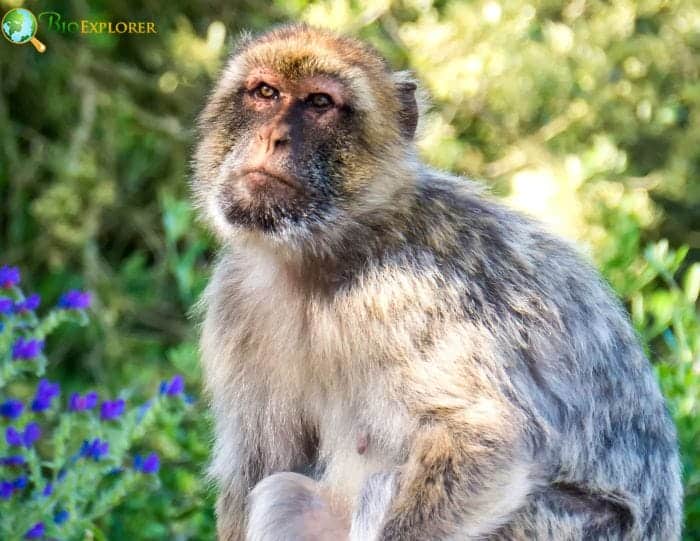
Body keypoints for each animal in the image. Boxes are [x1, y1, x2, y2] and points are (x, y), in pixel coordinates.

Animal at [192, 24, 683, 541]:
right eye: (265, 93)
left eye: (320, 102)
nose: (274, 137)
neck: (323, 252)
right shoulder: (236, 299)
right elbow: (259, 468)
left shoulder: (409, 292)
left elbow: (486, 437)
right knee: (285, 493)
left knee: (384, 484)